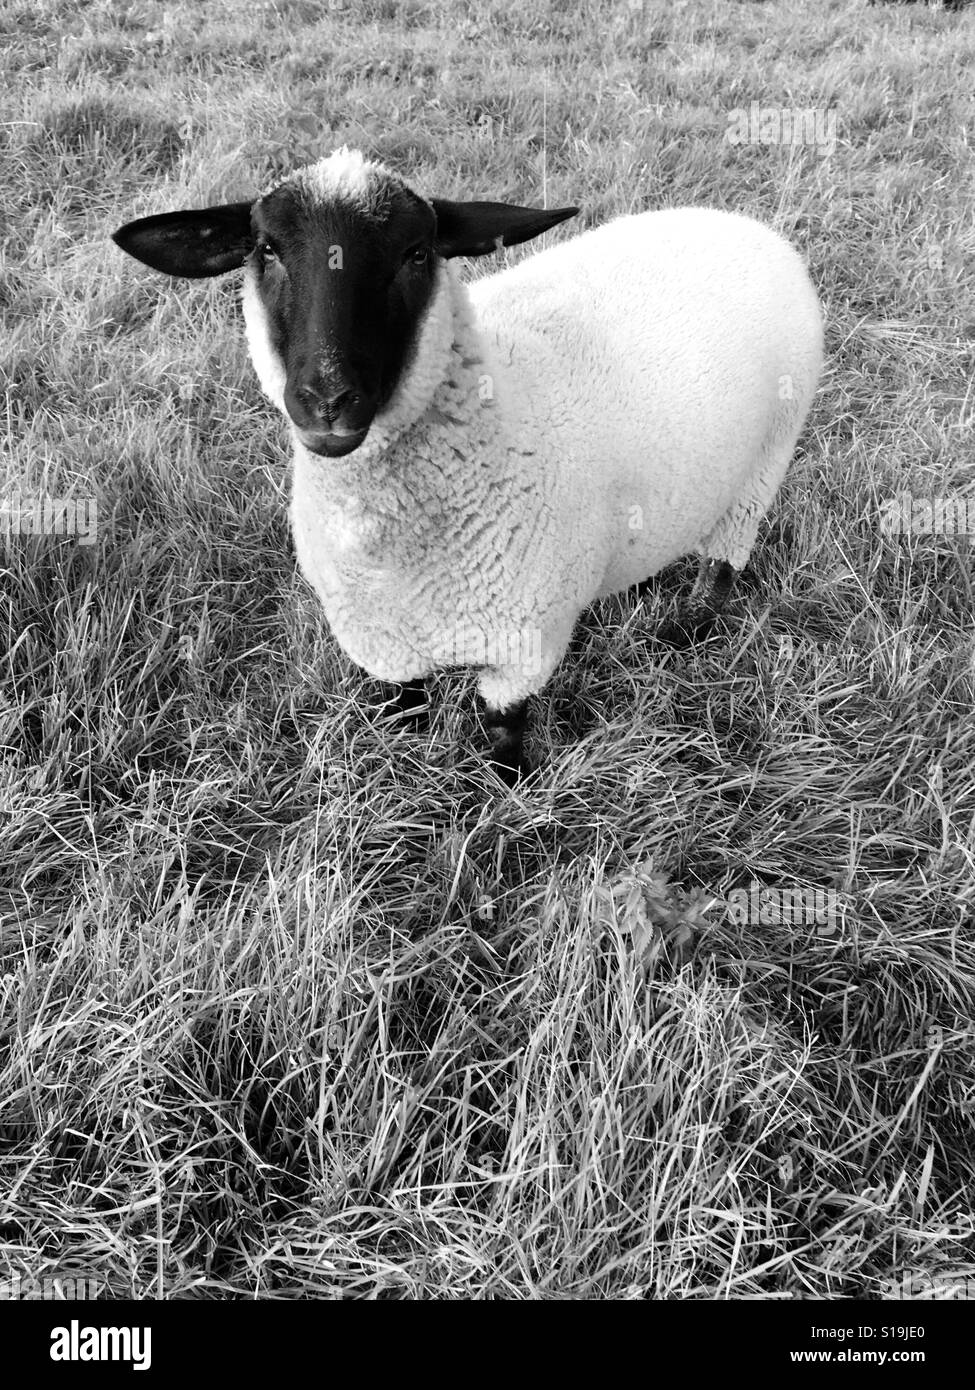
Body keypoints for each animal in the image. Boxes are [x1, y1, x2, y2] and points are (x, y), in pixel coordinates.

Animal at [112, 146, 823, 783]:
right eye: (266, 250)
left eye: (416, 253)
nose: (327, 401)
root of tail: (740, 221)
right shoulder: (386, 644)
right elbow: (403, 711)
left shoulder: (521, 649)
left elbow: (504, 734)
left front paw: (506, 796)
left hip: (764, 465)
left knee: (725, 564)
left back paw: (689, 631)